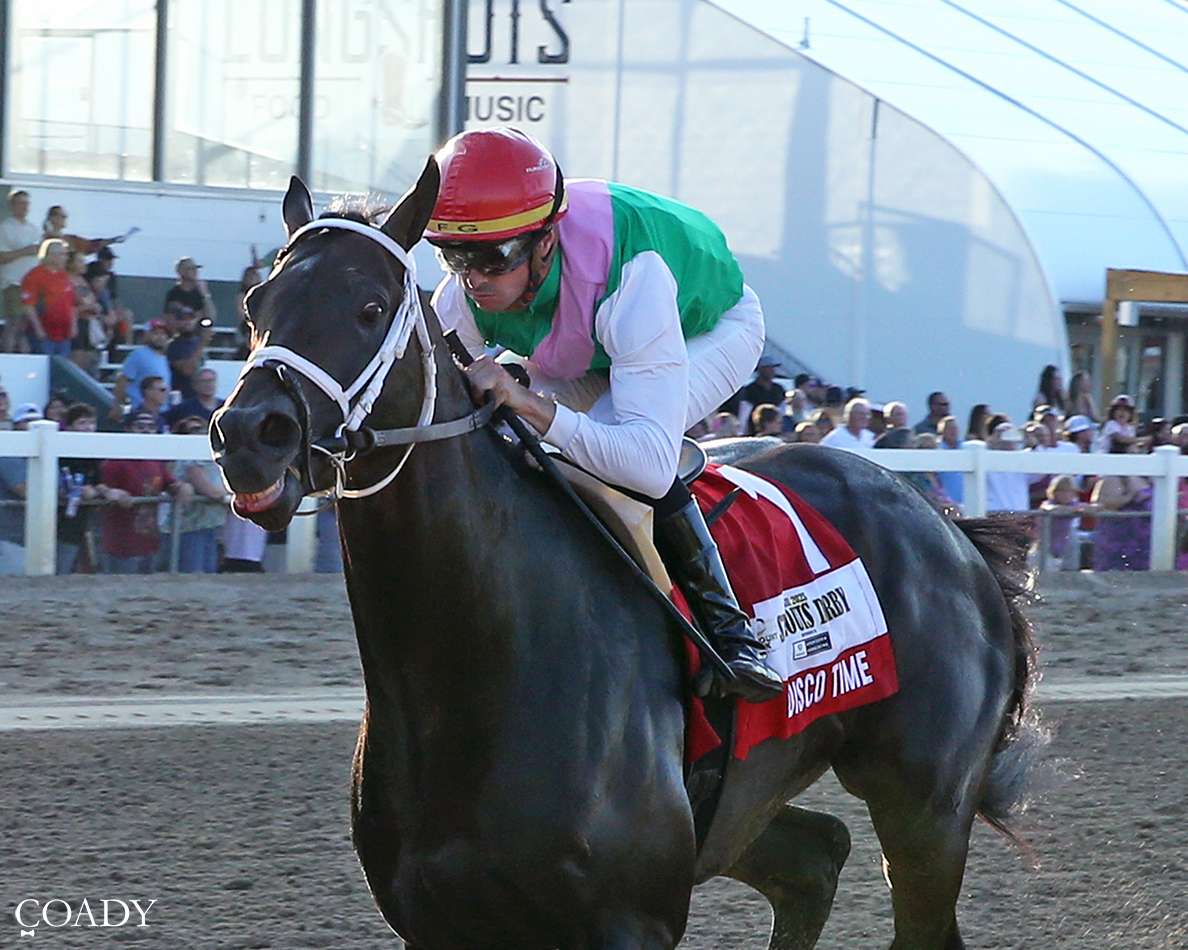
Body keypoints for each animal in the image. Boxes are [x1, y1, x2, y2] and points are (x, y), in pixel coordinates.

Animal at [211, 160, 1043, 950]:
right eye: (254, 305)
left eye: (370, 308)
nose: (251, 433)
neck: (471, 672)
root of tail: (948, 526)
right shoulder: (434, 923)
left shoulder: (631, 919)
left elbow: (644, 454)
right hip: (744, 805)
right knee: (817, 856)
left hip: (926, 811)